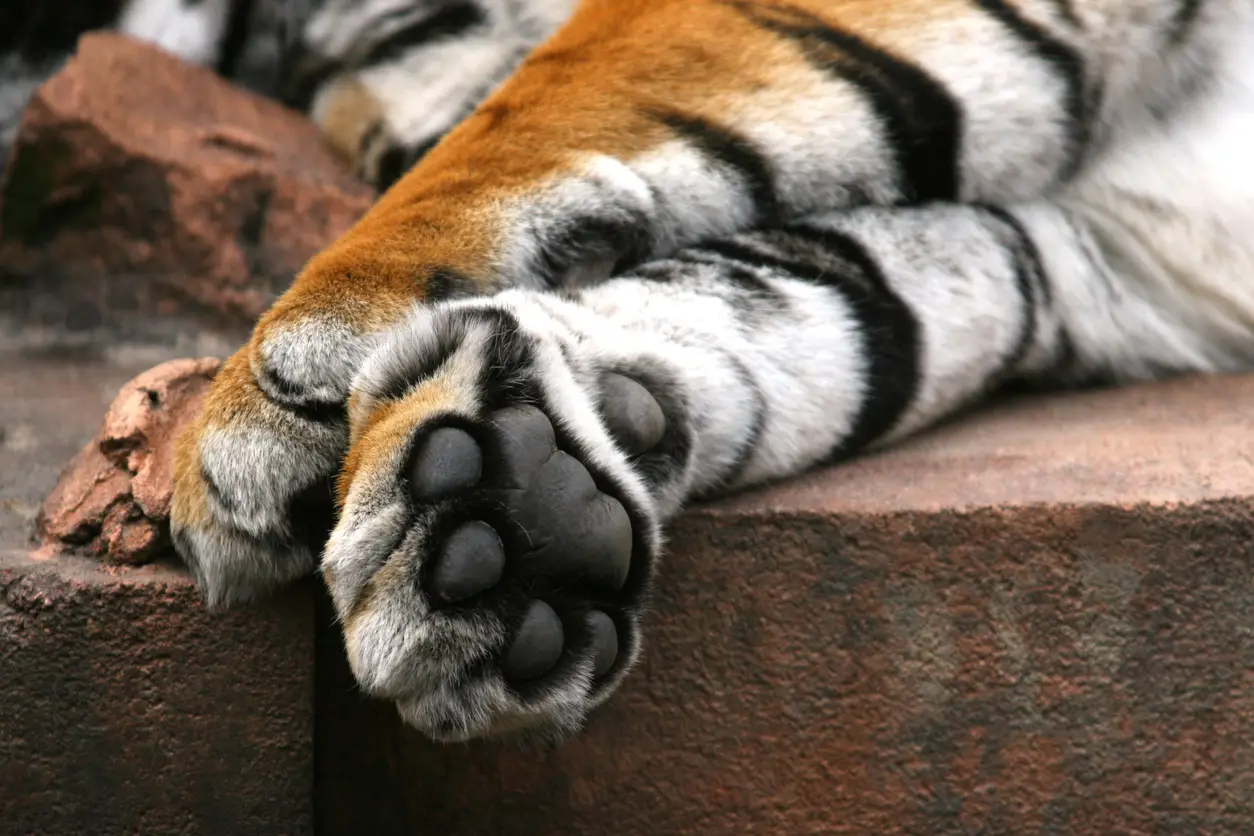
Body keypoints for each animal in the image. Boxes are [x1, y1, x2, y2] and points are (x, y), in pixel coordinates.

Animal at [13, 0, 1253, 744]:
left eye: (400, 30)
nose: (372, 135)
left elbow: (517, 122)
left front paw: (262, 397)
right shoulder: (1072, 248)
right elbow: (829, 306)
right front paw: (512, 502)